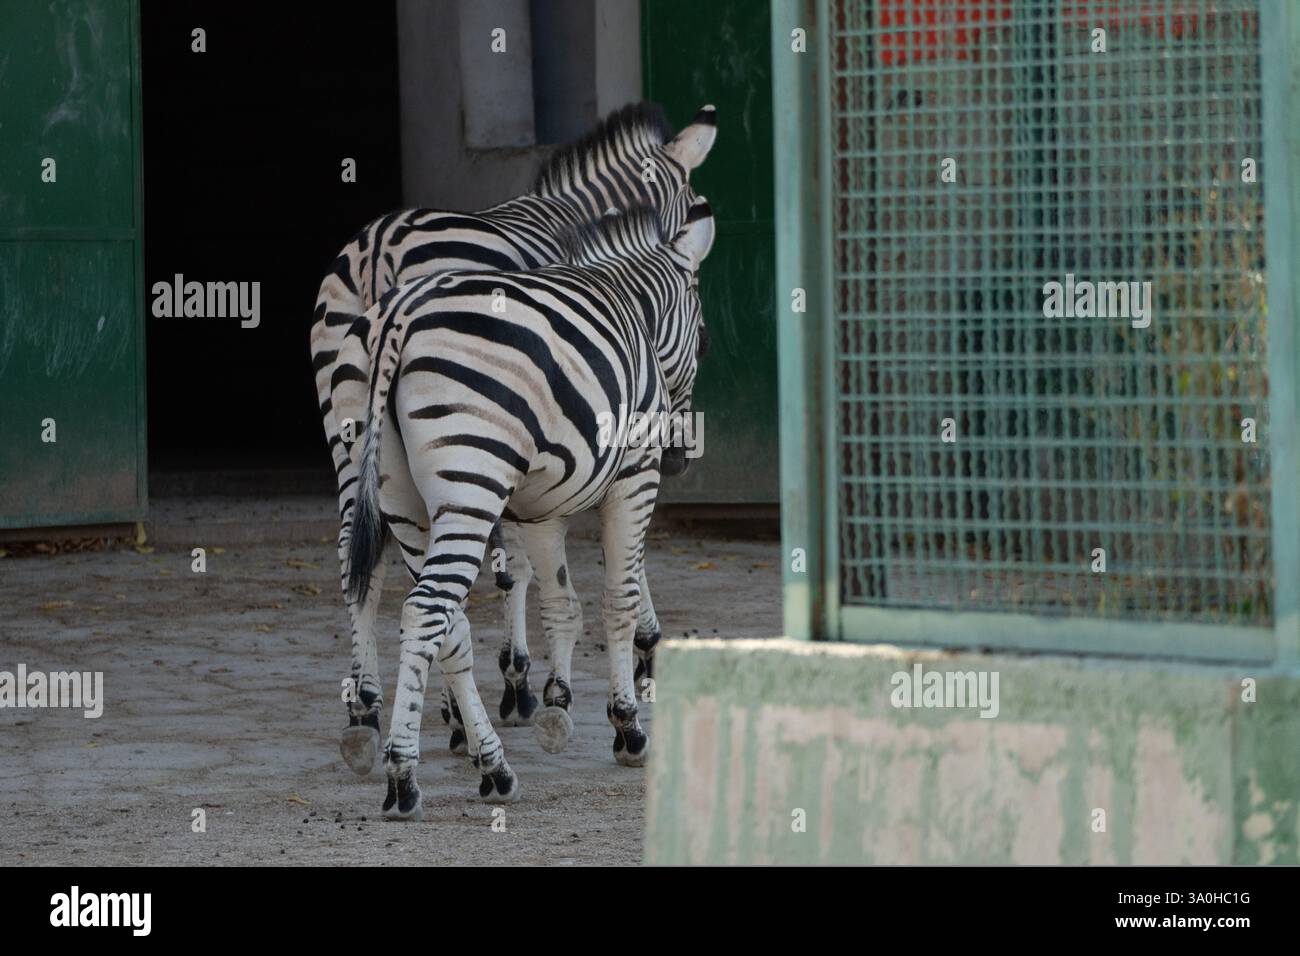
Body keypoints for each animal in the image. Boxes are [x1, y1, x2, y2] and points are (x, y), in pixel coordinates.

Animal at [309, 102, 718, 774]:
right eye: (704, 341)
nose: (681, 454)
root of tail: (379, 249)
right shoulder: (592, 456)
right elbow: (579, 570)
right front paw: (600, 666)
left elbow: (530, 570)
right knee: (434, 588)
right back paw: (447, 728)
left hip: (353, 444)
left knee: (358, 558)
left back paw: (366, 710)